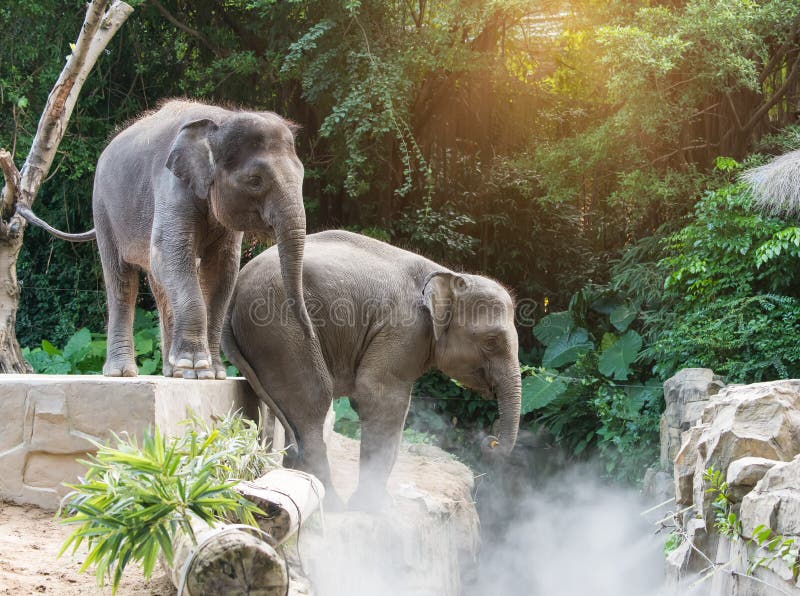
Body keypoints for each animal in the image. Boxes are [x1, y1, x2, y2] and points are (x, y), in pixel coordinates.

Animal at [16, 99, 312, 379]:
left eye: (302, 176)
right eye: (255, 181)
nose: (309, 334)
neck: (221, 118)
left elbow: (221, 272)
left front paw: (212, 372)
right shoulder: (171, 185)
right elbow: (170, 256)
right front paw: (197, 368)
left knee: (158, 285)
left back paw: (174, 371)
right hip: (103, 208)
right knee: (122, 281)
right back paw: (122, 372)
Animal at [222, 230, 522, 509]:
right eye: (492, 341)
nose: (491, 441)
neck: (448, 272)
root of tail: (235, 291)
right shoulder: (403, 328)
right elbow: (380, 396)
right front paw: (372, 508)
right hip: (281, 326)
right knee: (313, 401)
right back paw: (332, 504)